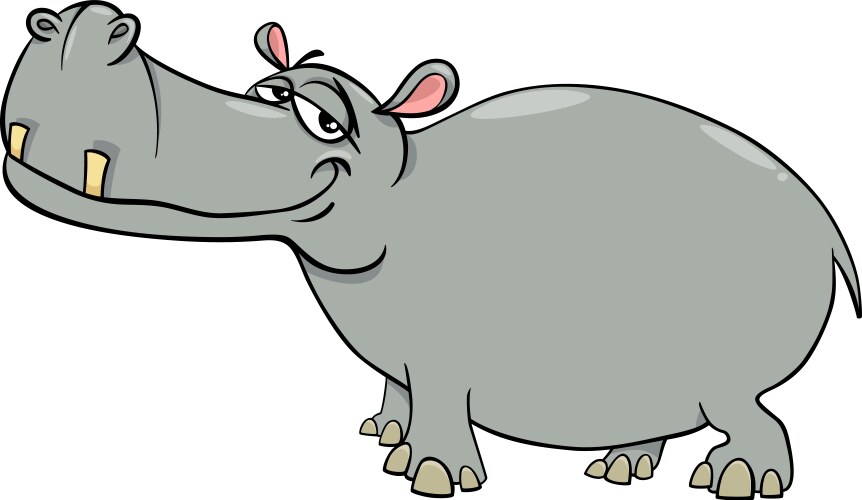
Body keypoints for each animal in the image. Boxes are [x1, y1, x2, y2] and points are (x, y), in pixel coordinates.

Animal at [3, 2, 859, 498]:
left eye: (326, 120)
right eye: (265, 89)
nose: (81, 22)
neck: (395, 184)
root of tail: (825, 216)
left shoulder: (447, 355)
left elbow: (442, 406)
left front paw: (435, 479)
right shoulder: (400, 351)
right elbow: (399, 391)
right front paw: (383, 443)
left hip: (730, 375)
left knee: (754, 417)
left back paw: (737, 481)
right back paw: (620, 469)